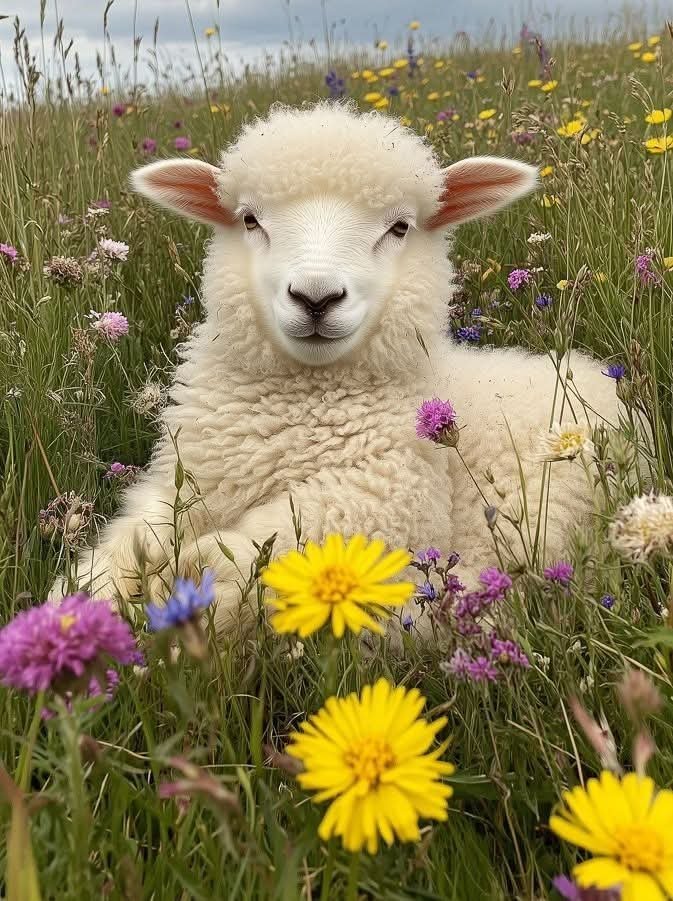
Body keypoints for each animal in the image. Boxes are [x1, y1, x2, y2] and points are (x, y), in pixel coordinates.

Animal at [52, 103, 619, 638]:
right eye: (250, 220)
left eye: (399, 227)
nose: (316, 297)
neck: (295, 413)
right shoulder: (179, 486)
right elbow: (124, 548)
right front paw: (79, 610)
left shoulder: (390, 499)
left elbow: (277, 544)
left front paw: (189, 573)